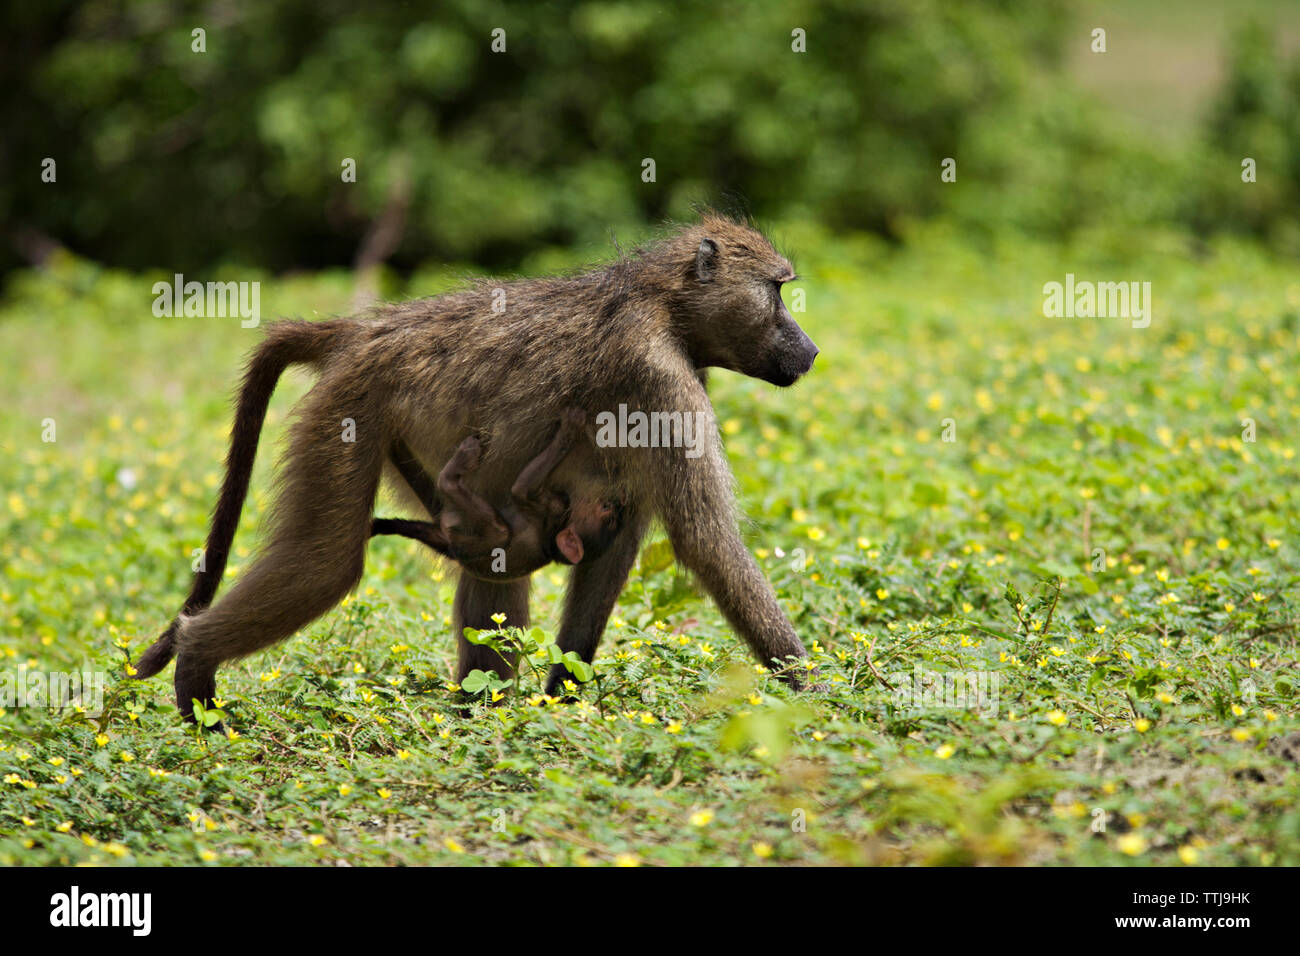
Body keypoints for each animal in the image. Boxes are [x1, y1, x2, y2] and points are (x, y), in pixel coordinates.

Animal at [369, 408, 624, 578]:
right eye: (608, 512)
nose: (615, 503)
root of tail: (452, 548)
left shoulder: (554, 507)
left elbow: (522, 489)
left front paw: (567, 433)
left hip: (472, 533)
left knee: (497, 529)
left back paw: (458, 466)